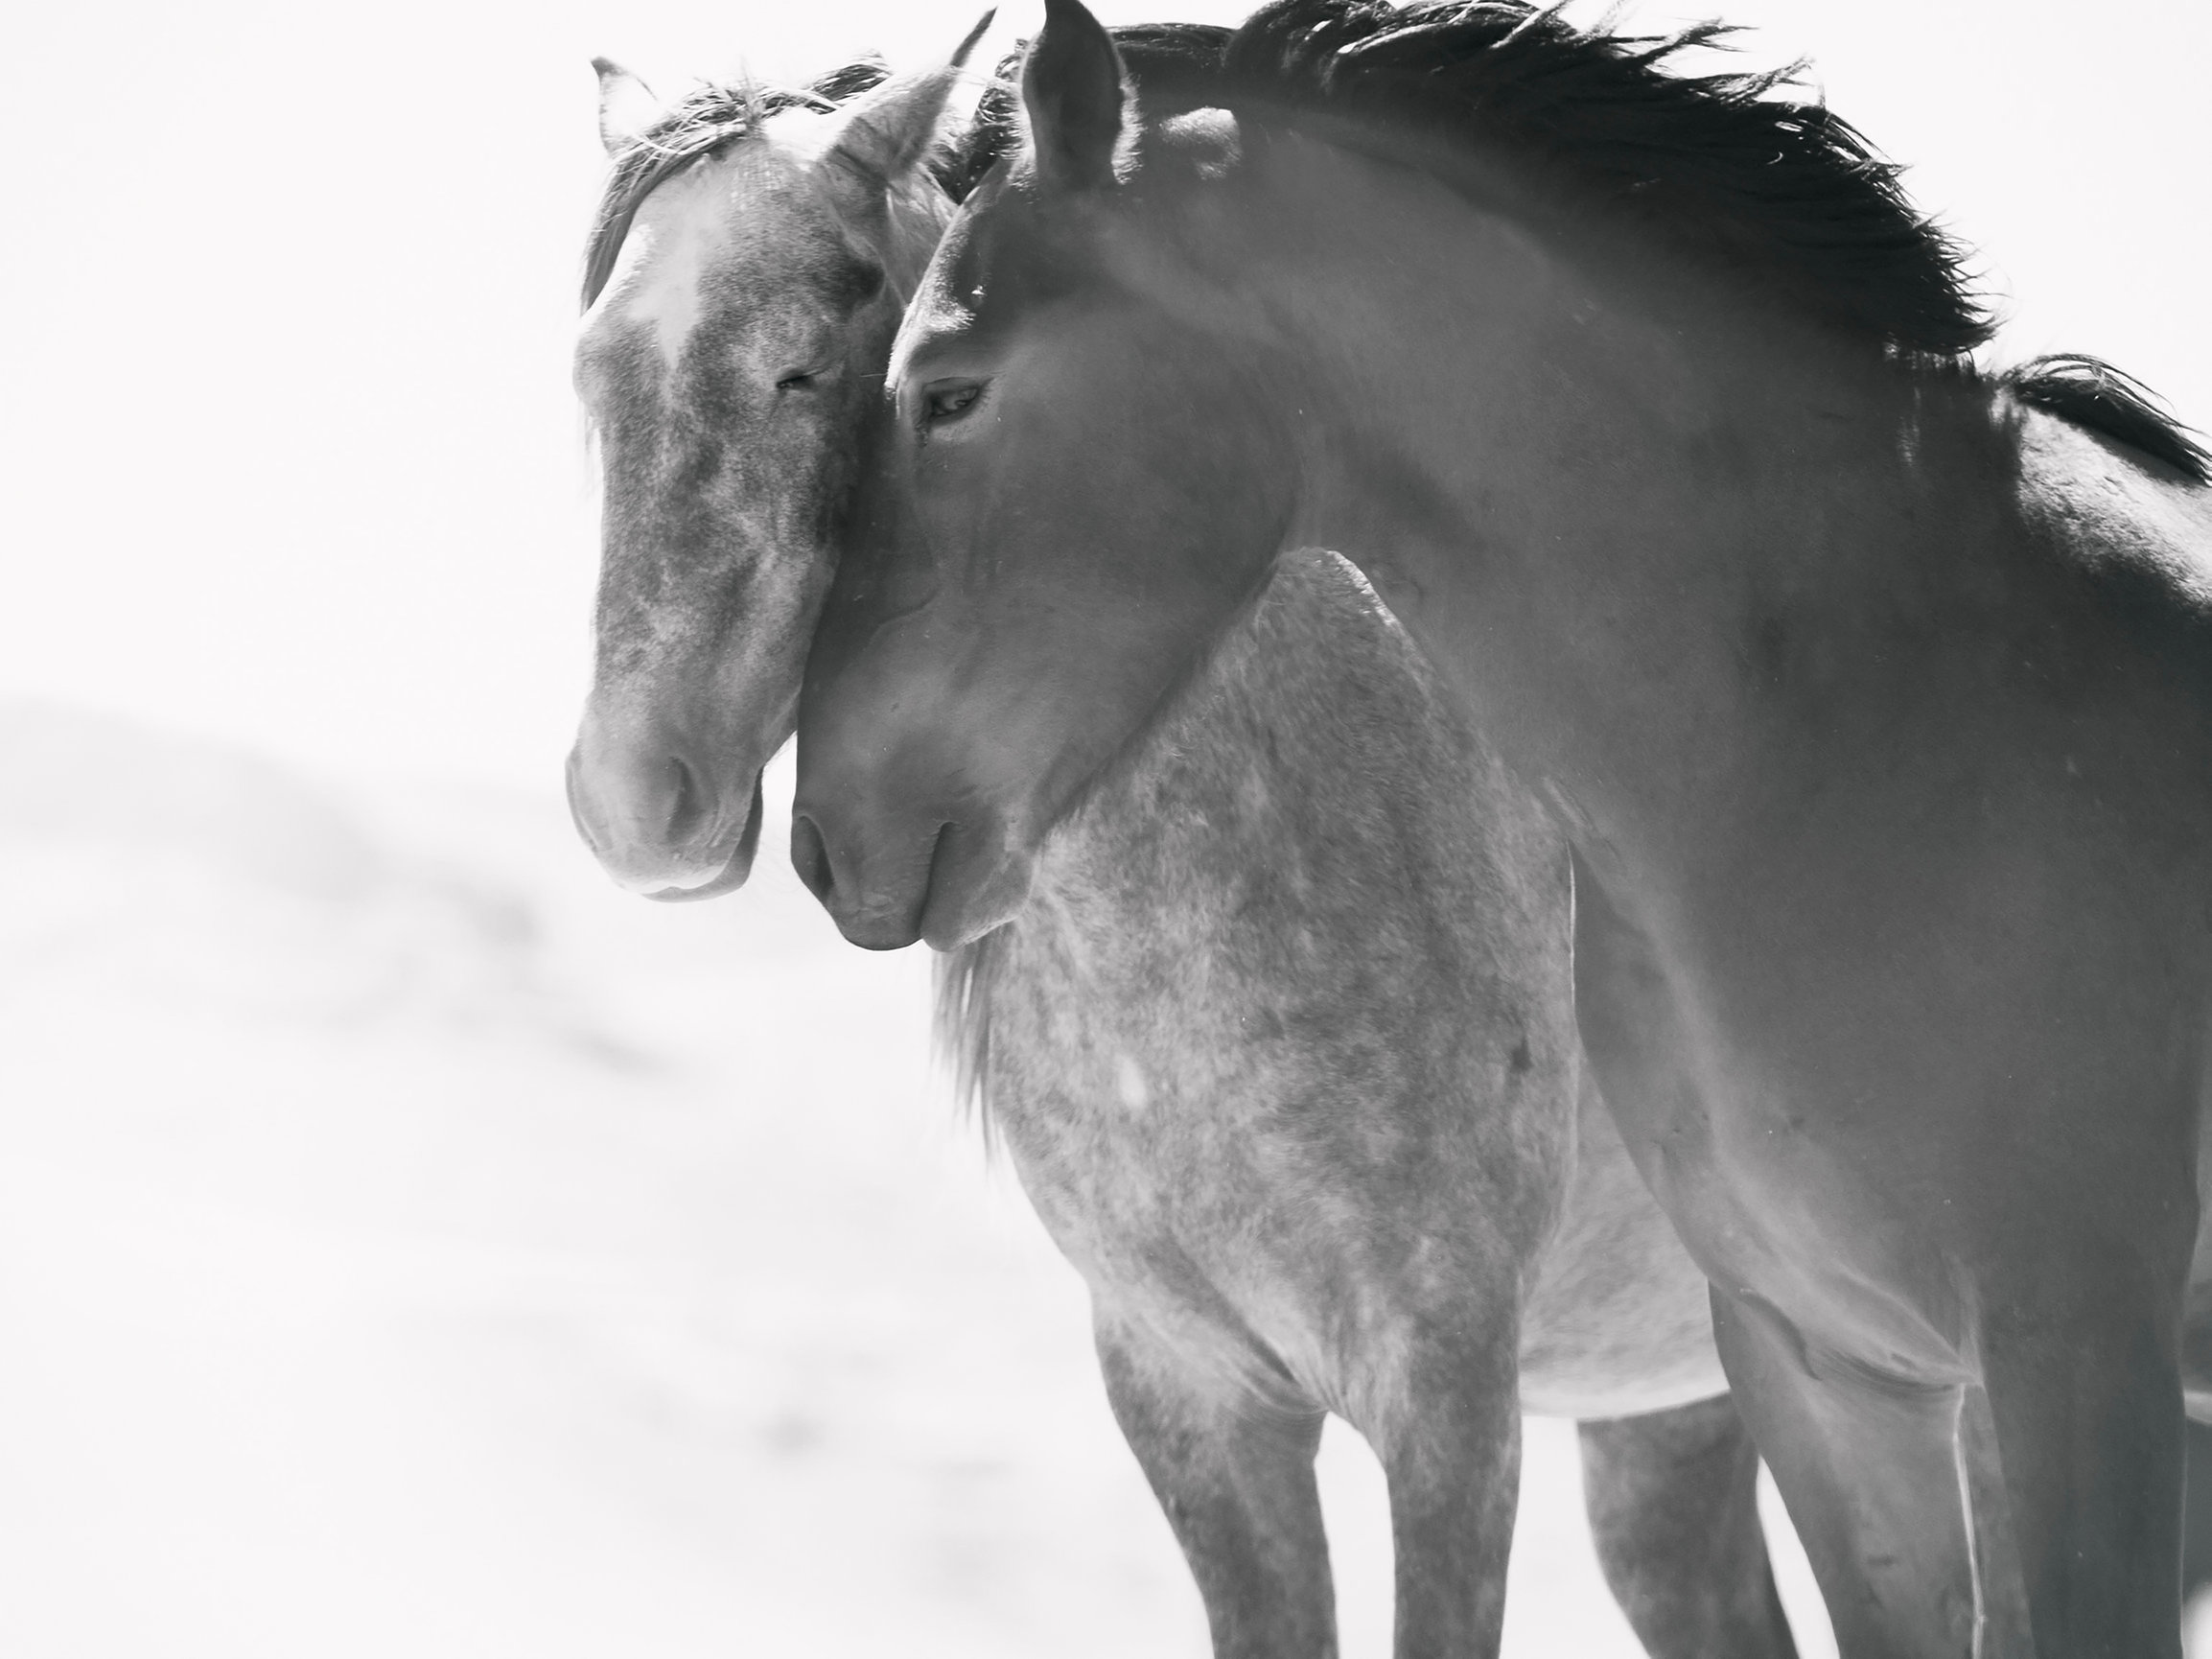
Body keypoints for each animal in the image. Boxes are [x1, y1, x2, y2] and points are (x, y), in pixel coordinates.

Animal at [565, 25, 1801, 1659]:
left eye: (806, 366)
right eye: (591, 373)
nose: (630, 797)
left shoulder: (1447, 1404)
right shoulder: (1190, 1396)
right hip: (1677, 1428)